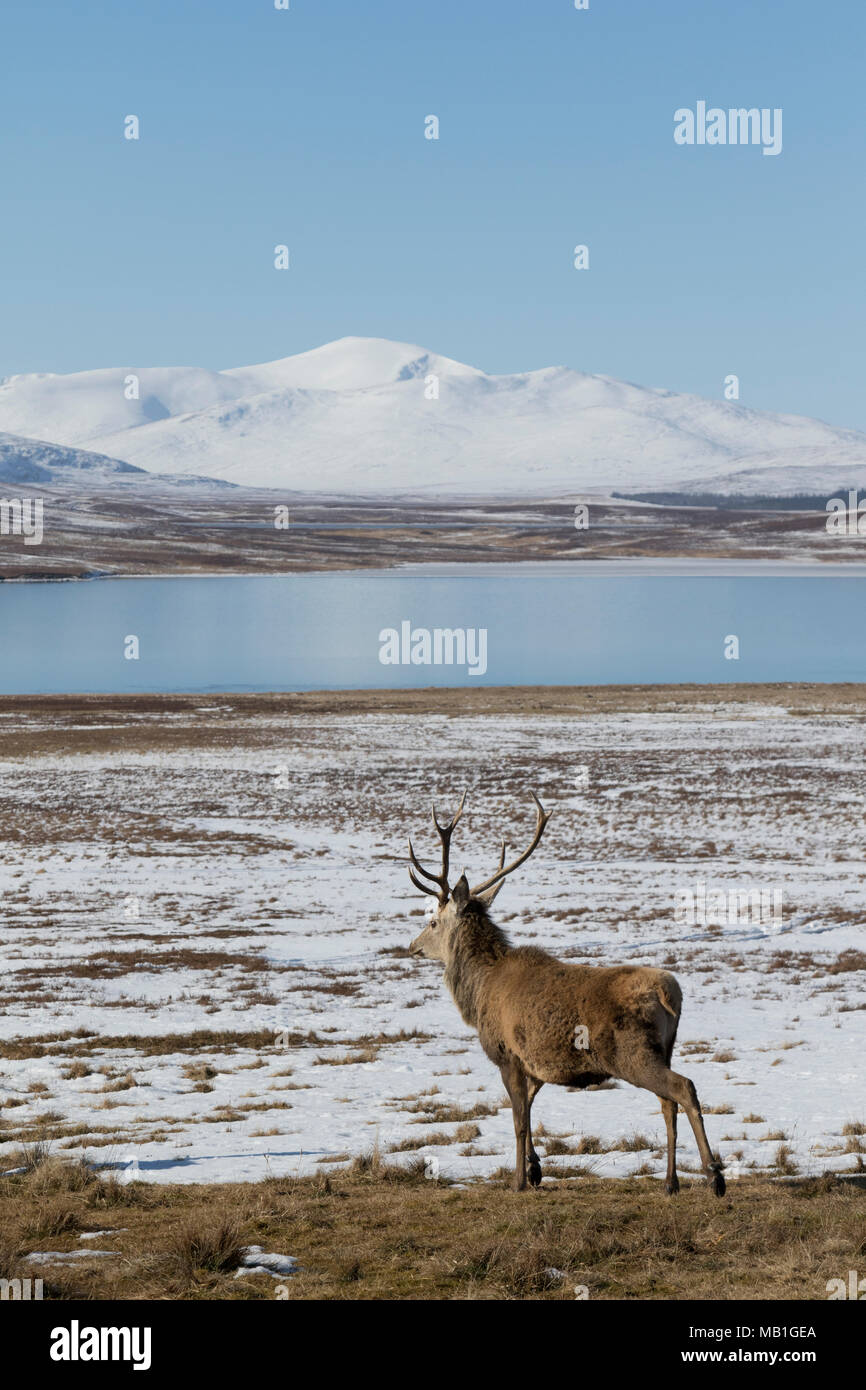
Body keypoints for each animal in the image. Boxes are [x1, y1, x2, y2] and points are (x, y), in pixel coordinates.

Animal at [406, 791, 726, 1197]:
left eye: (432, 921)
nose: (412, 946)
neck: (477, 994)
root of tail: (671, 994)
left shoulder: (507, 1054)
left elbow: (518, 1120)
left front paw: (518, 1181)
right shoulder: (536, 1063)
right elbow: (528, 1108)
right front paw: (534, 1168)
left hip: (632, 1053)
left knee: (683, 1088)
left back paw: (714, 1175)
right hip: (664, 1049)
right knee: (668, 1103)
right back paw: (670, 1183)